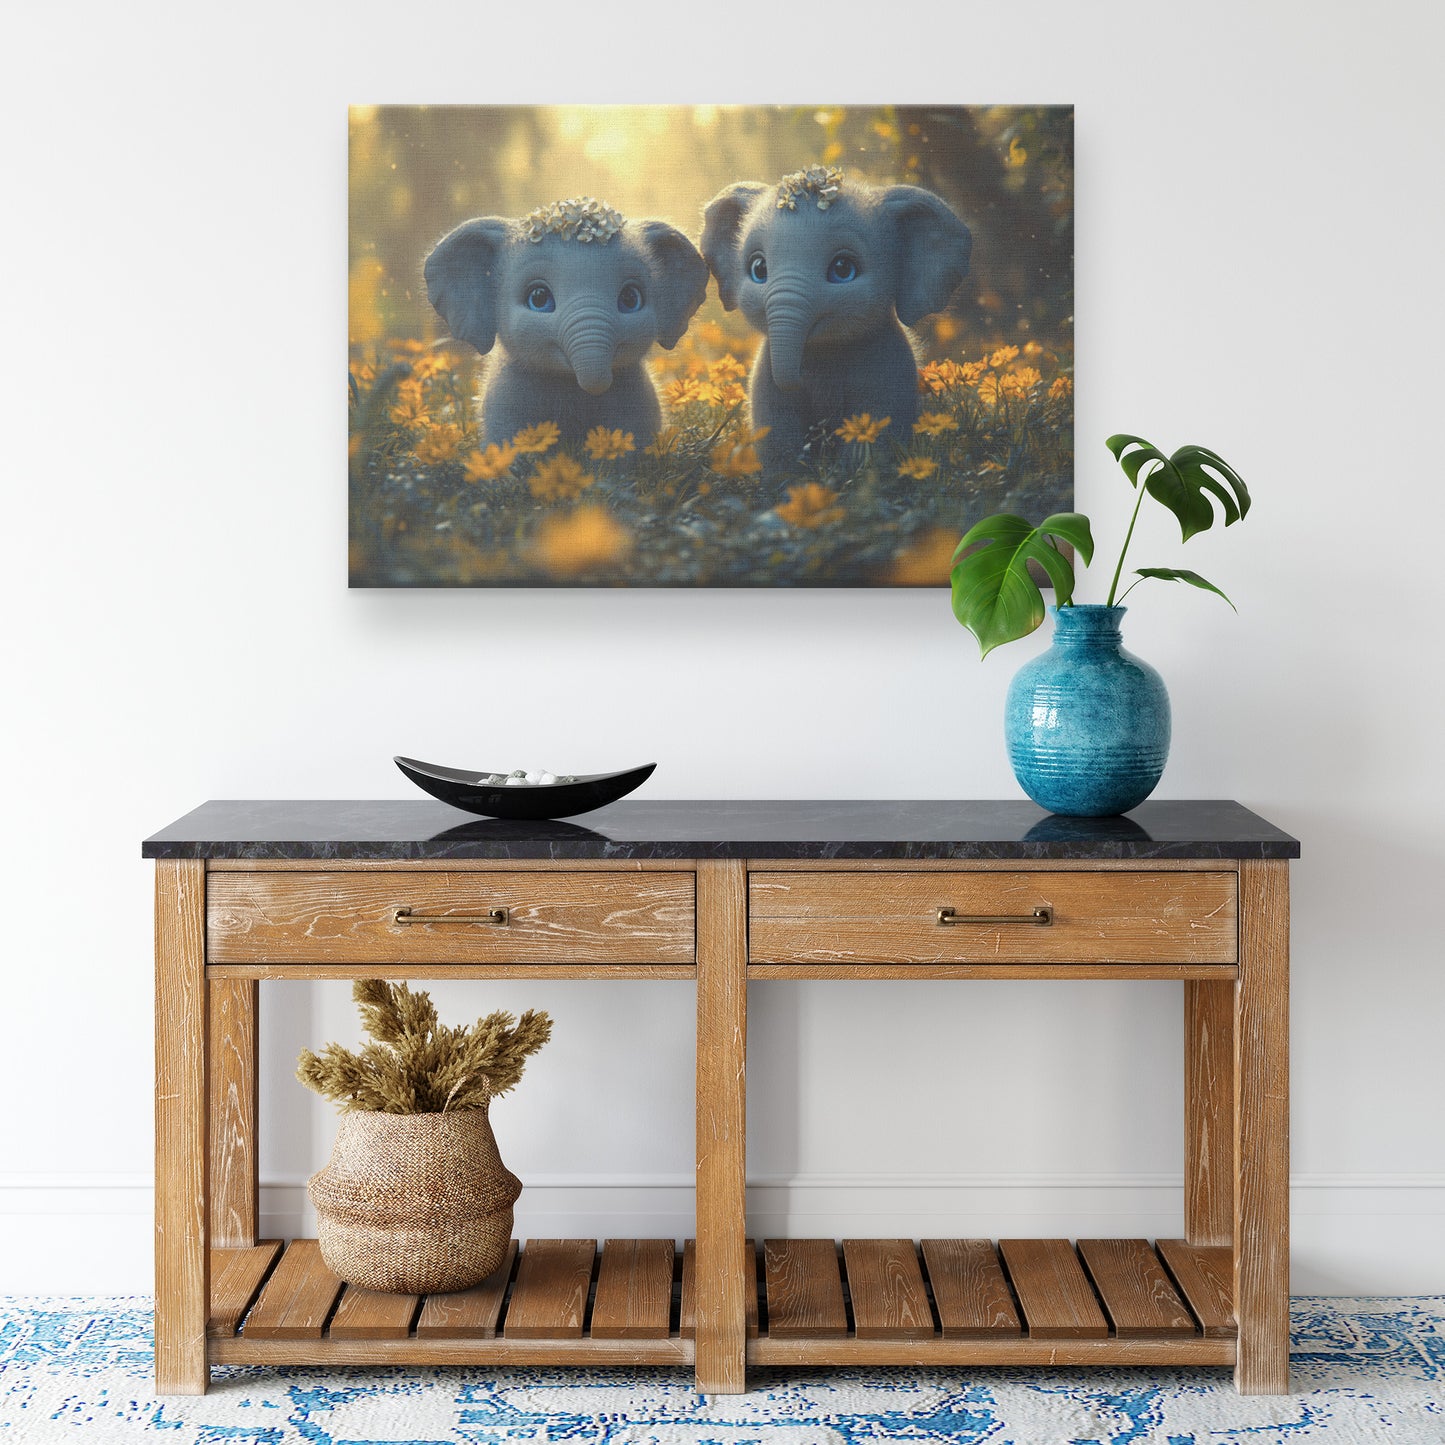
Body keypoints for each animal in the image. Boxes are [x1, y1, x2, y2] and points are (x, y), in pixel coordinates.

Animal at [701, 167, 972, 469]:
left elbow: (875, 426)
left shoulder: (890, 371)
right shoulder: (764, 380)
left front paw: (849, 473)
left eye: (843, 269)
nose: (820, 431)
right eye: (759, 269)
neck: (824, 351)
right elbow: (775, 431)